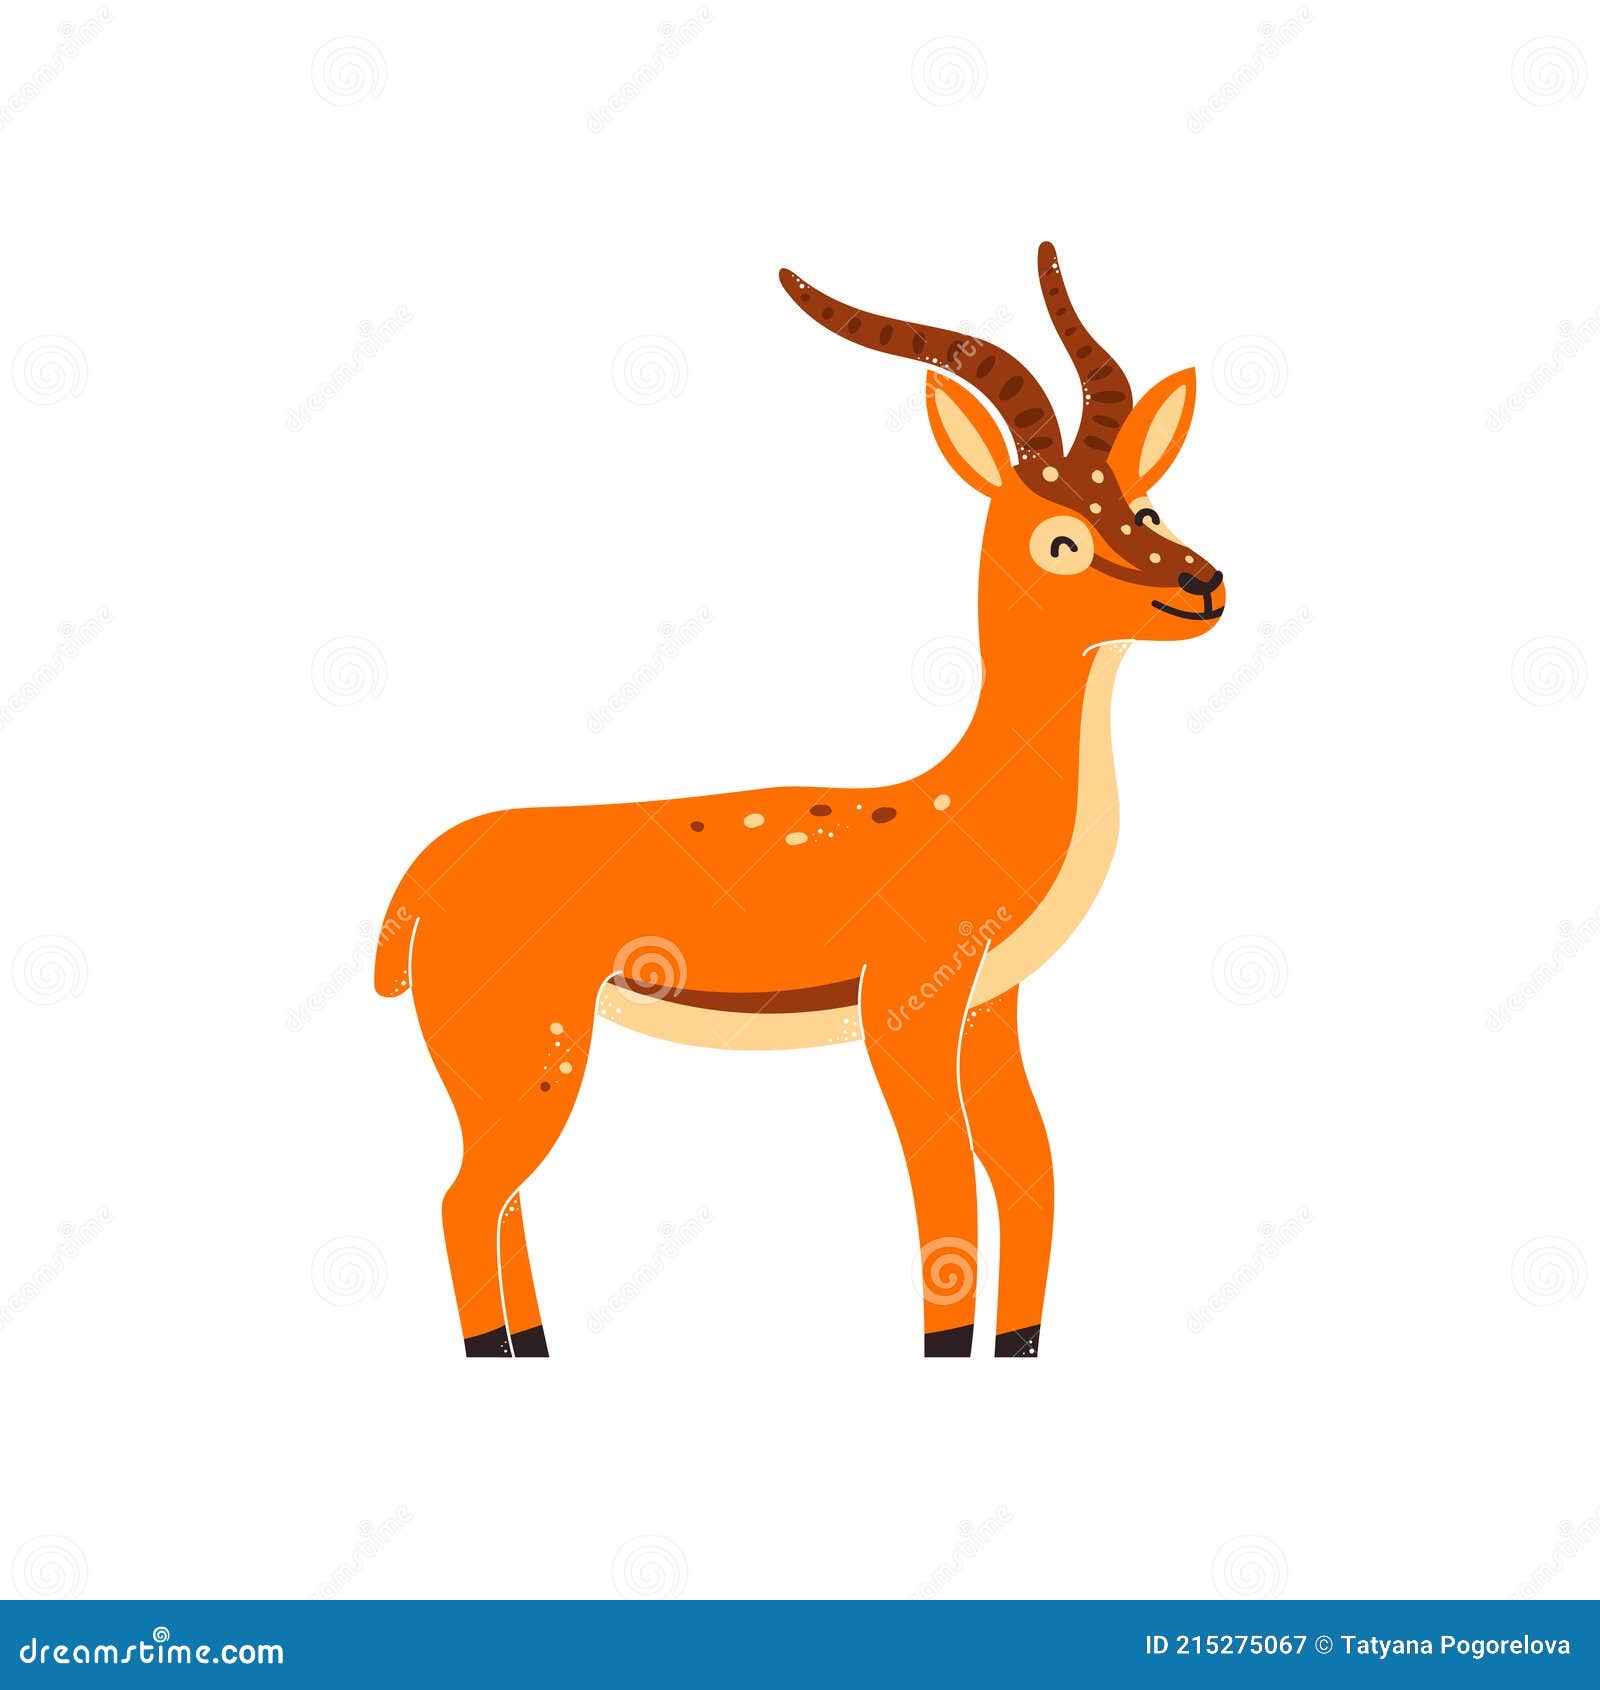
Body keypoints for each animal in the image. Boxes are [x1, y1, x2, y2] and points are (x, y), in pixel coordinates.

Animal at [375, 244, 1226, 1359]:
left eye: (1147, 504)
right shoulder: (905, 1007)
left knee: (497, 1201)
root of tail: (416, 881)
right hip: (529, 1052)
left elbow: (1030, 1174)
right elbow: (945, 1191)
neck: (962, 807)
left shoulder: (992, 1005)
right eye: (1060, 542)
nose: (1204, 584)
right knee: (464, 1200)